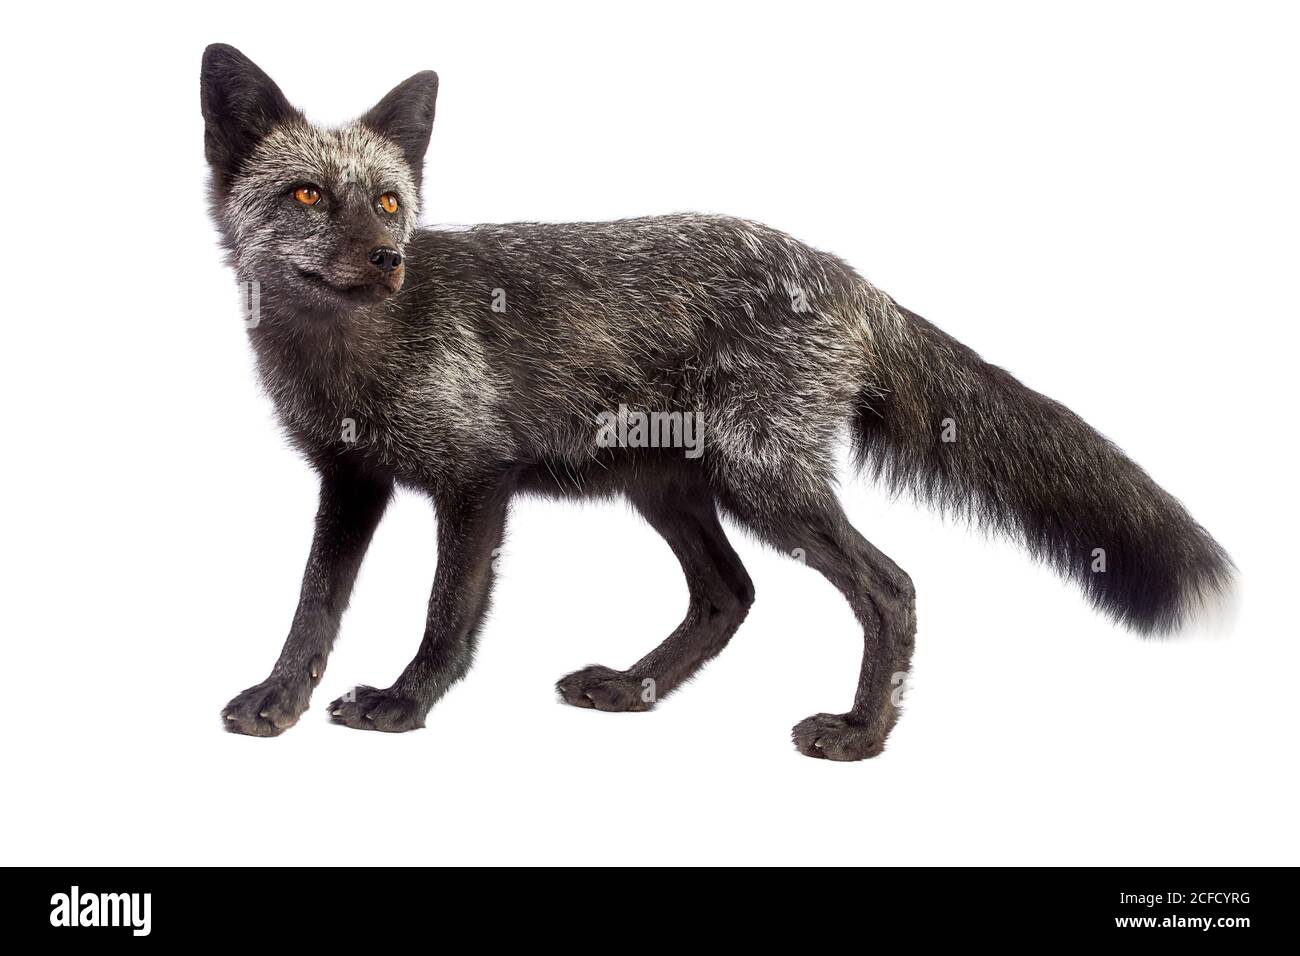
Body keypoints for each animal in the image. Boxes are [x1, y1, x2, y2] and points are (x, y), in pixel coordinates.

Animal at [202, 43, 1233, 759]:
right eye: (306, 196)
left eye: (387, 203)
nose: (389, 258)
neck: (347, 361)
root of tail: (850, 277)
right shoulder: (350, 480)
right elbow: (313, 605)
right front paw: (280, 701)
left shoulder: (474, 481)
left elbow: (446, 612)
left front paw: (403, 704)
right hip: (670, 488)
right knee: (729, 594)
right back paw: (633, 689)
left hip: (762, 482)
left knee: (889, 587)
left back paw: (861, 736)